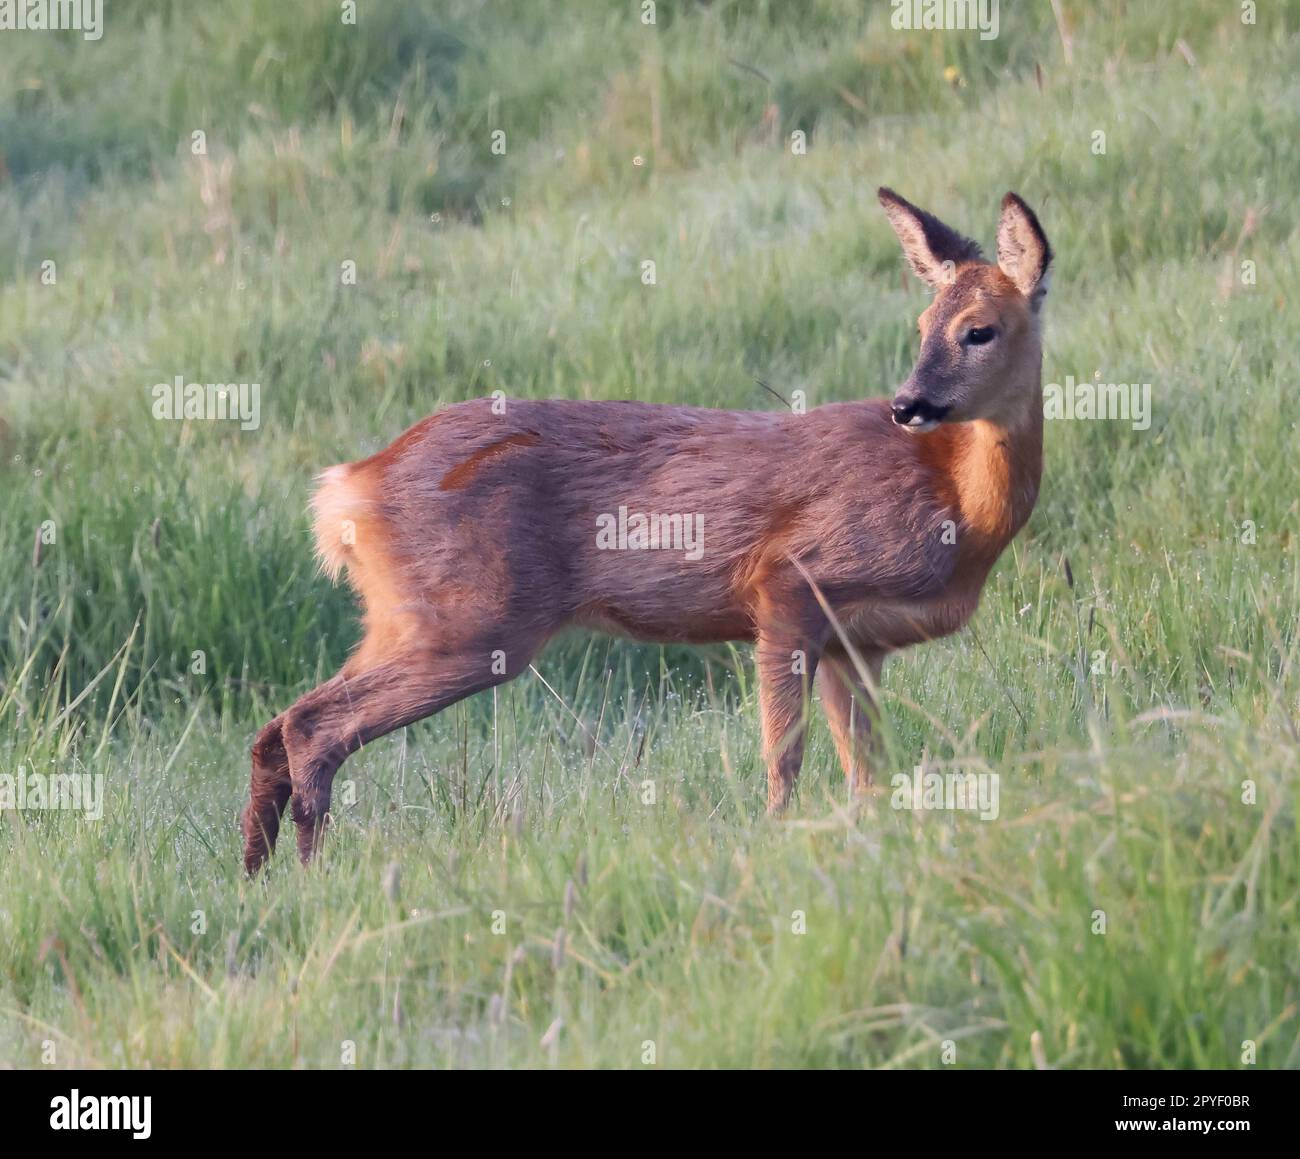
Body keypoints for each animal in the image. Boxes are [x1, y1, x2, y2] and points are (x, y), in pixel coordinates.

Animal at [240, 188, 1051, 873]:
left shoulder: (861, 643)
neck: (959, 508)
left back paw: (258, 875)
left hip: (402, 619)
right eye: (921, 326)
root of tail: (348, 490)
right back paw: (310, 875)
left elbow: (869, 774)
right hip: (473, 621)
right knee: (313, 726)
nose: (908, 403)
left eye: (978, 330)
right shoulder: (790, 583)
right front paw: (775, 842)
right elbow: (784, 758)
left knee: (277, 725)